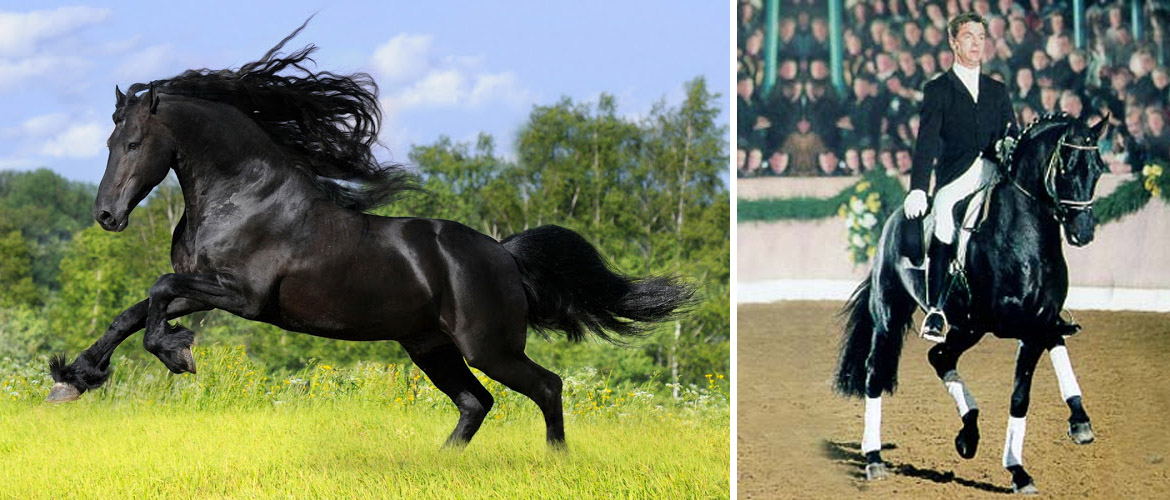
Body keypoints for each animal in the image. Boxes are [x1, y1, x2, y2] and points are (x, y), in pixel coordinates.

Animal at [45, 23, 693, 450]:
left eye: (133, 142)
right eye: (109, 141)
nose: (107, 215)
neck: (244, 197)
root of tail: (504, 255)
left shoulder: (243, 297)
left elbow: (155, 292)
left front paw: (176, 353)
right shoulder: (203, 285)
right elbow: (132, 312)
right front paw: (74, 379)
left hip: (489, 347)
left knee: (547, 387)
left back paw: (554, 461)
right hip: (431, 347)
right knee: (476, 402)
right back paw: (442, 464)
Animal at [835, 112, 1109, 494]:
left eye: (1098, 169)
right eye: (1067, 168)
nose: (1083, 233)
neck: (1026, 238)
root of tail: (895, 218)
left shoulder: (1044, 318)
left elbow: (1059, 353)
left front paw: (1080, 421)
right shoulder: (1019, 327)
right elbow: (1020, 397)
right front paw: (1018, 471)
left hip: (968, 327)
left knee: (940, 357)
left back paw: (969, 433)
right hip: (891, 315)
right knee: (876, 373)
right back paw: (874, 458)